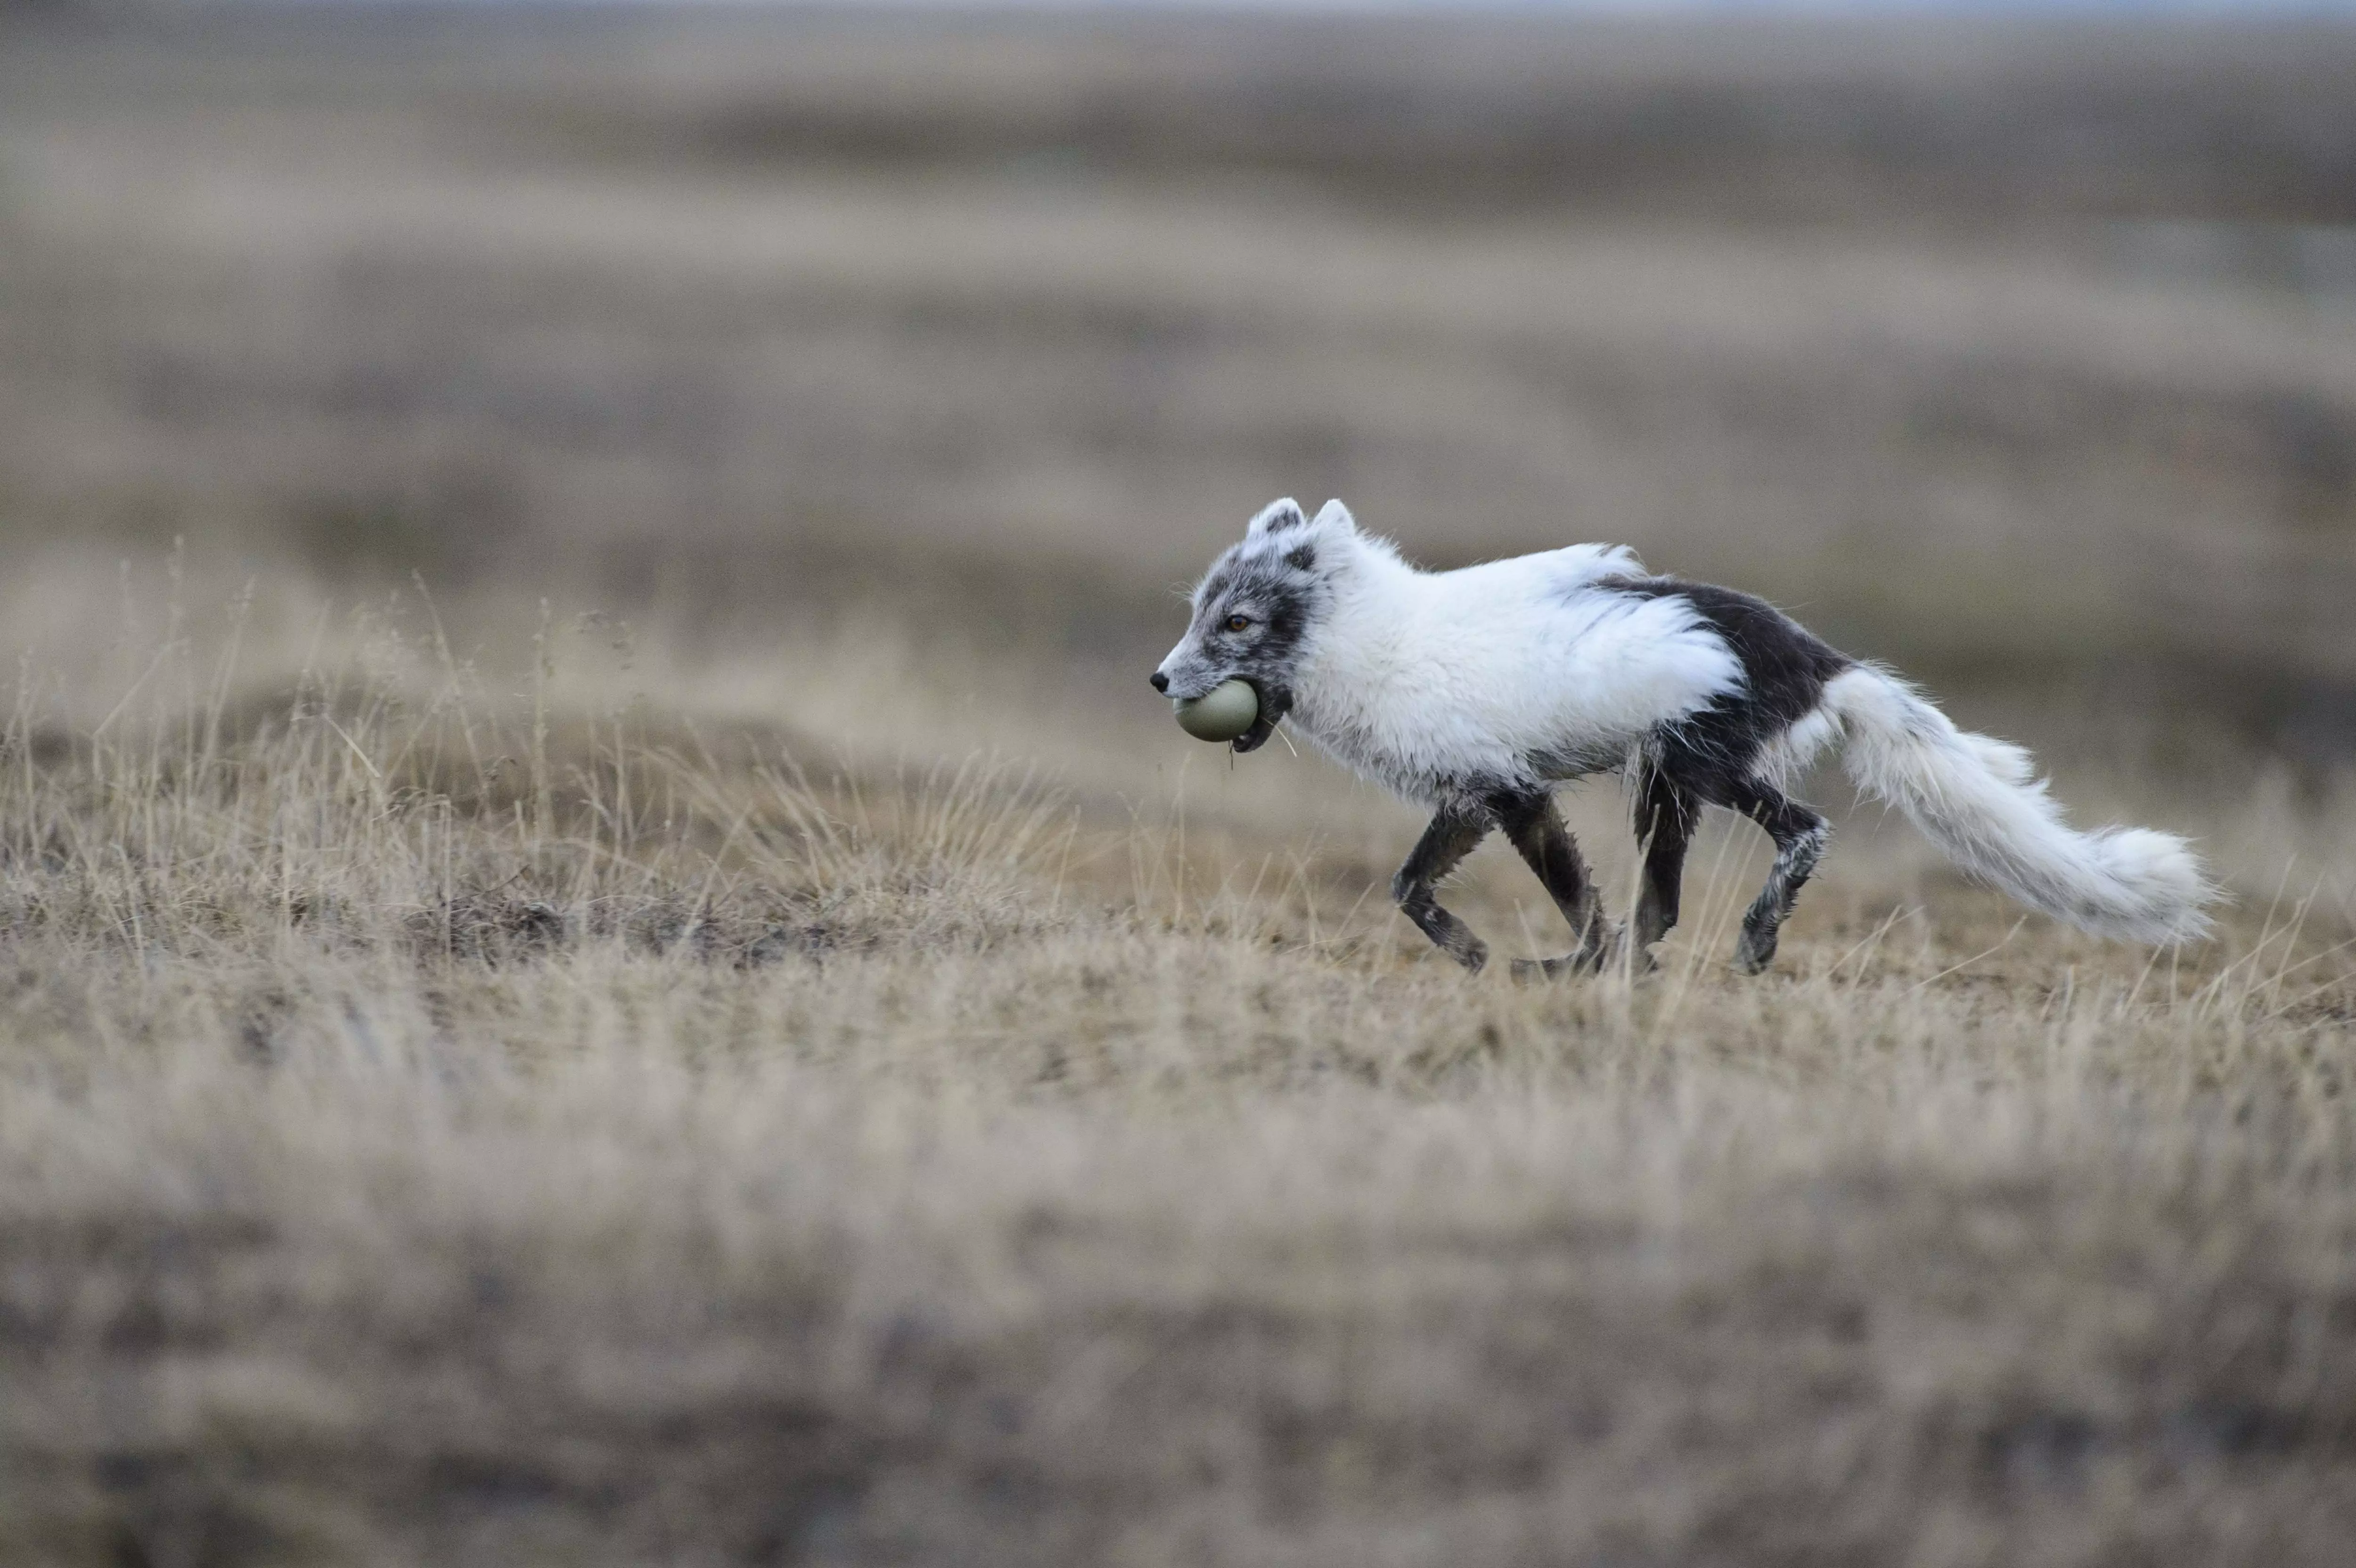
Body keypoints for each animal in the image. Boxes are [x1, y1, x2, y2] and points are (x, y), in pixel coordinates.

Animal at [1150, 501, 2215, 970]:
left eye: (1236, 621)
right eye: (1197, 608)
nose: (1159, 679)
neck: (1375, 639)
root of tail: (1819, 655)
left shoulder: (1505, 785)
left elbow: (1527, 894)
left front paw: (1520, 959)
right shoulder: (1477, 790)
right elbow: (1415, 888)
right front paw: (1507, 959)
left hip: (1691, 760)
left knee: (1804, 831)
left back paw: (1749, 939)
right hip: (1670, 785)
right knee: (1663, 908)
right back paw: (1638, 967)